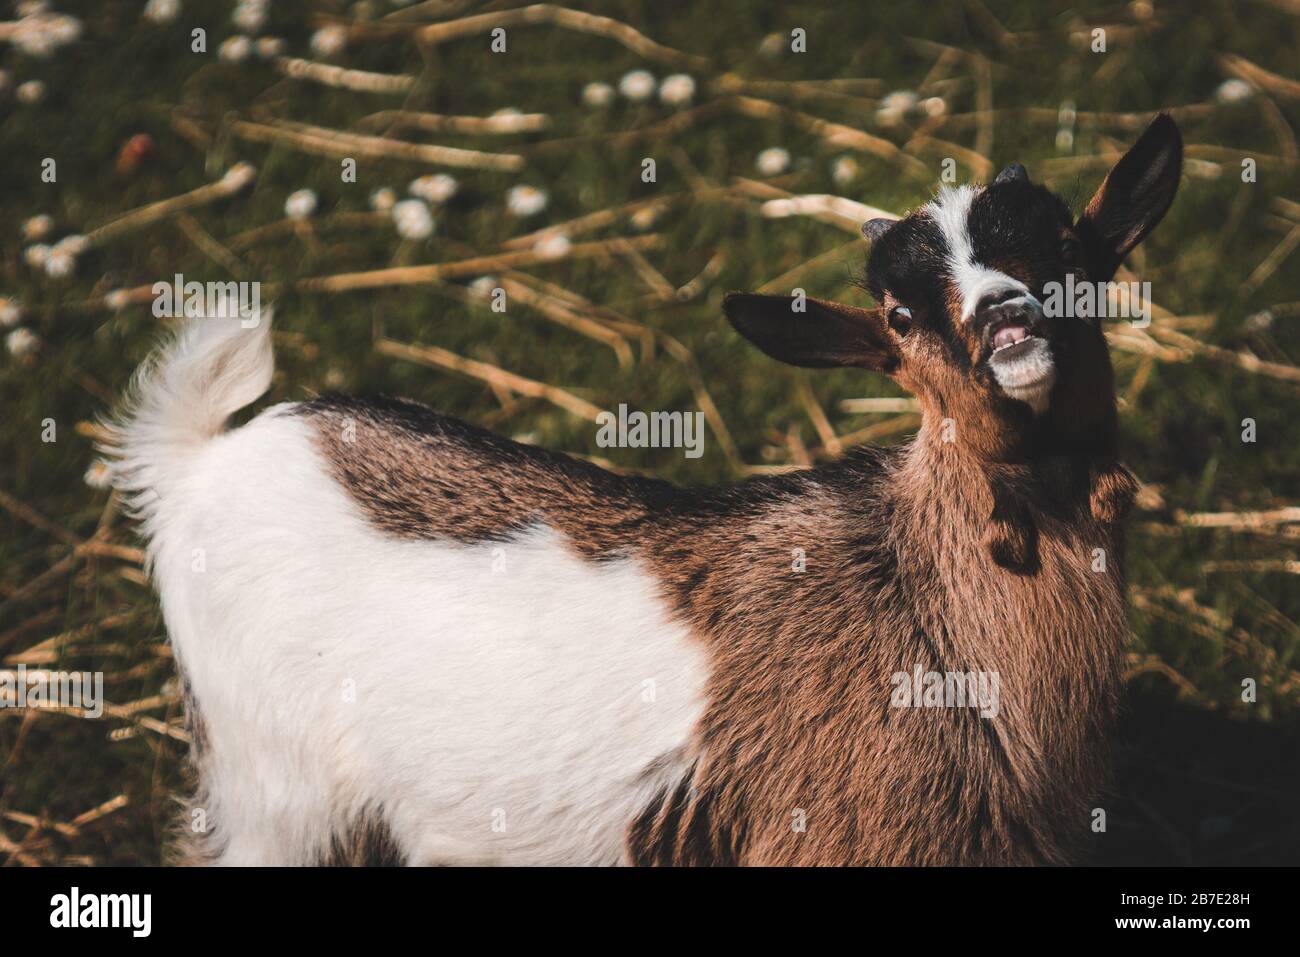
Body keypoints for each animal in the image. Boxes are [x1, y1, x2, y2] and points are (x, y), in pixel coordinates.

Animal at [108, 114, 1183, 866]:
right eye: (899, 314)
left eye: (1071, 253)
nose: (1009, 319)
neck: (921, 613)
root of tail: (200, 458)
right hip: (275, 794)